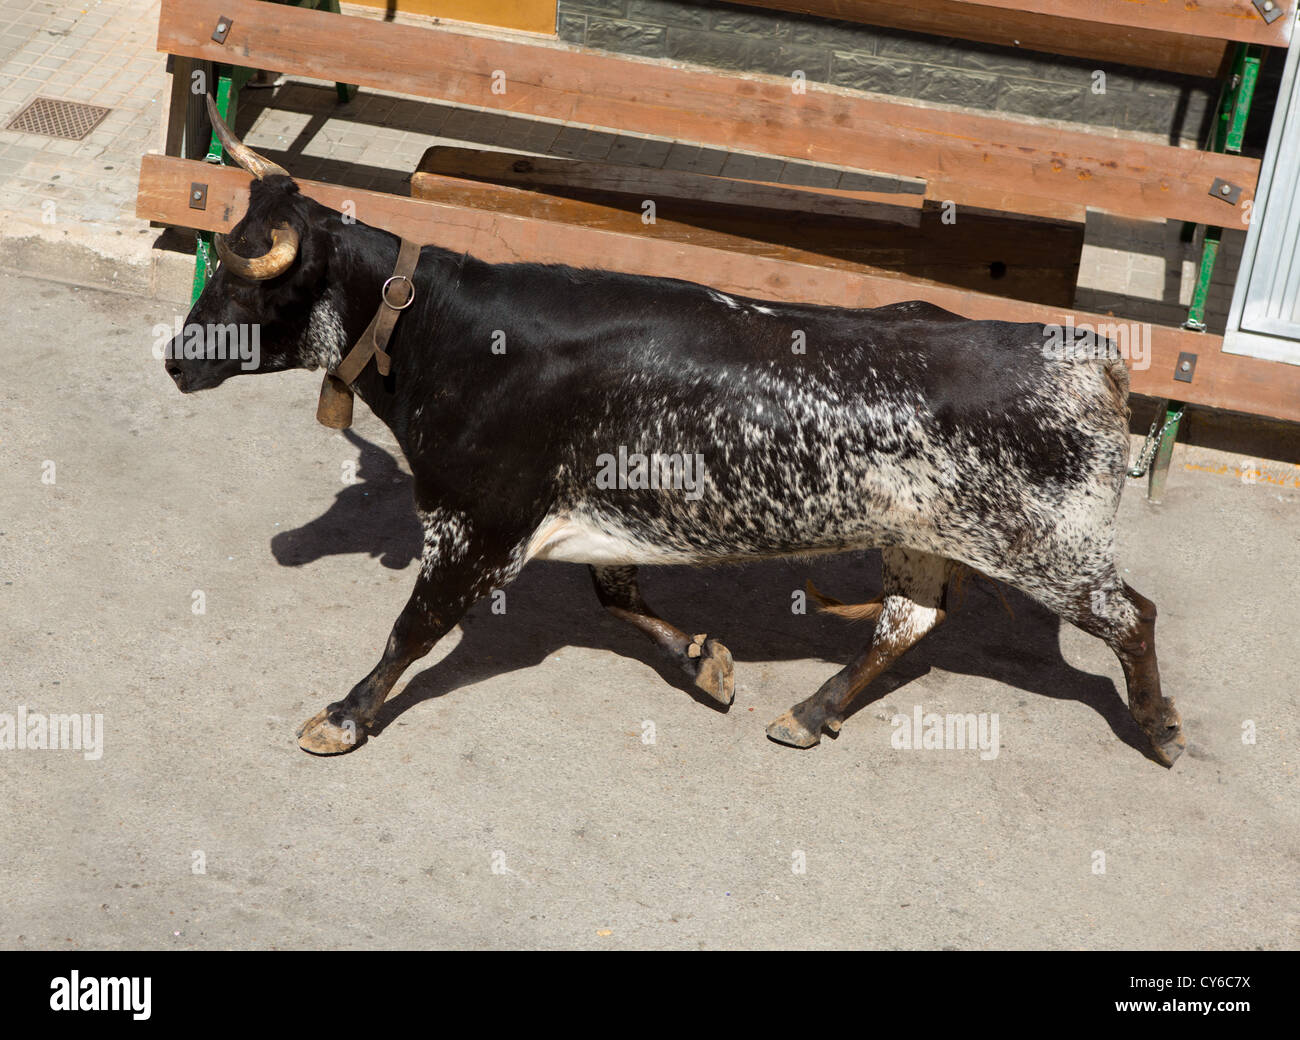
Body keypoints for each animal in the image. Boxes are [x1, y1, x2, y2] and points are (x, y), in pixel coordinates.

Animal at [164, 100, 1184, 767]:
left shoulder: (475, 529)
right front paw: (707, 662)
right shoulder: (593, 520)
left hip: (1050, 548)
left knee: (1130, 614)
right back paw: (809, 710)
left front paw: (343, 715)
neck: (446, 335)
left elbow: (412, 629)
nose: (176, 360)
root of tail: (1090, 353)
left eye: (250, 283)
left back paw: (1161, 727)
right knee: (908, 621)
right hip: (923, 535)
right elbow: (616, 596)